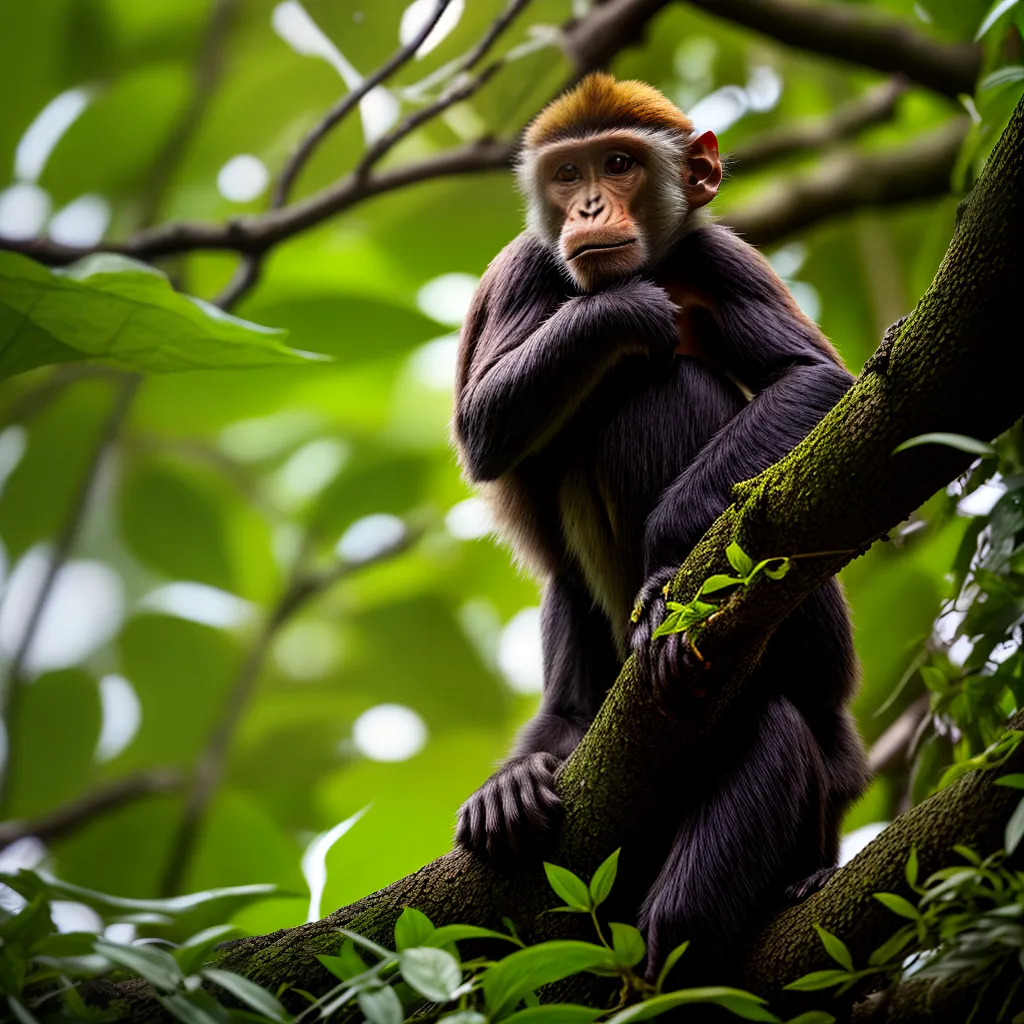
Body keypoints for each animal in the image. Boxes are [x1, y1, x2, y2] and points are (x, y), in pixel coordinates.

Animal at [451, 73, 869, 972]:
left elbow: (814, 381)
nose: (589, 207)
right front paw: (618, 312)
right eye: (567, 174)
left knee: (664, 389)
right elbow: (483, 428)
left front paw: (669, 568)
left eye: (619, 164)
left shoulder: (715, 253)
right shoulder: (528, 267)